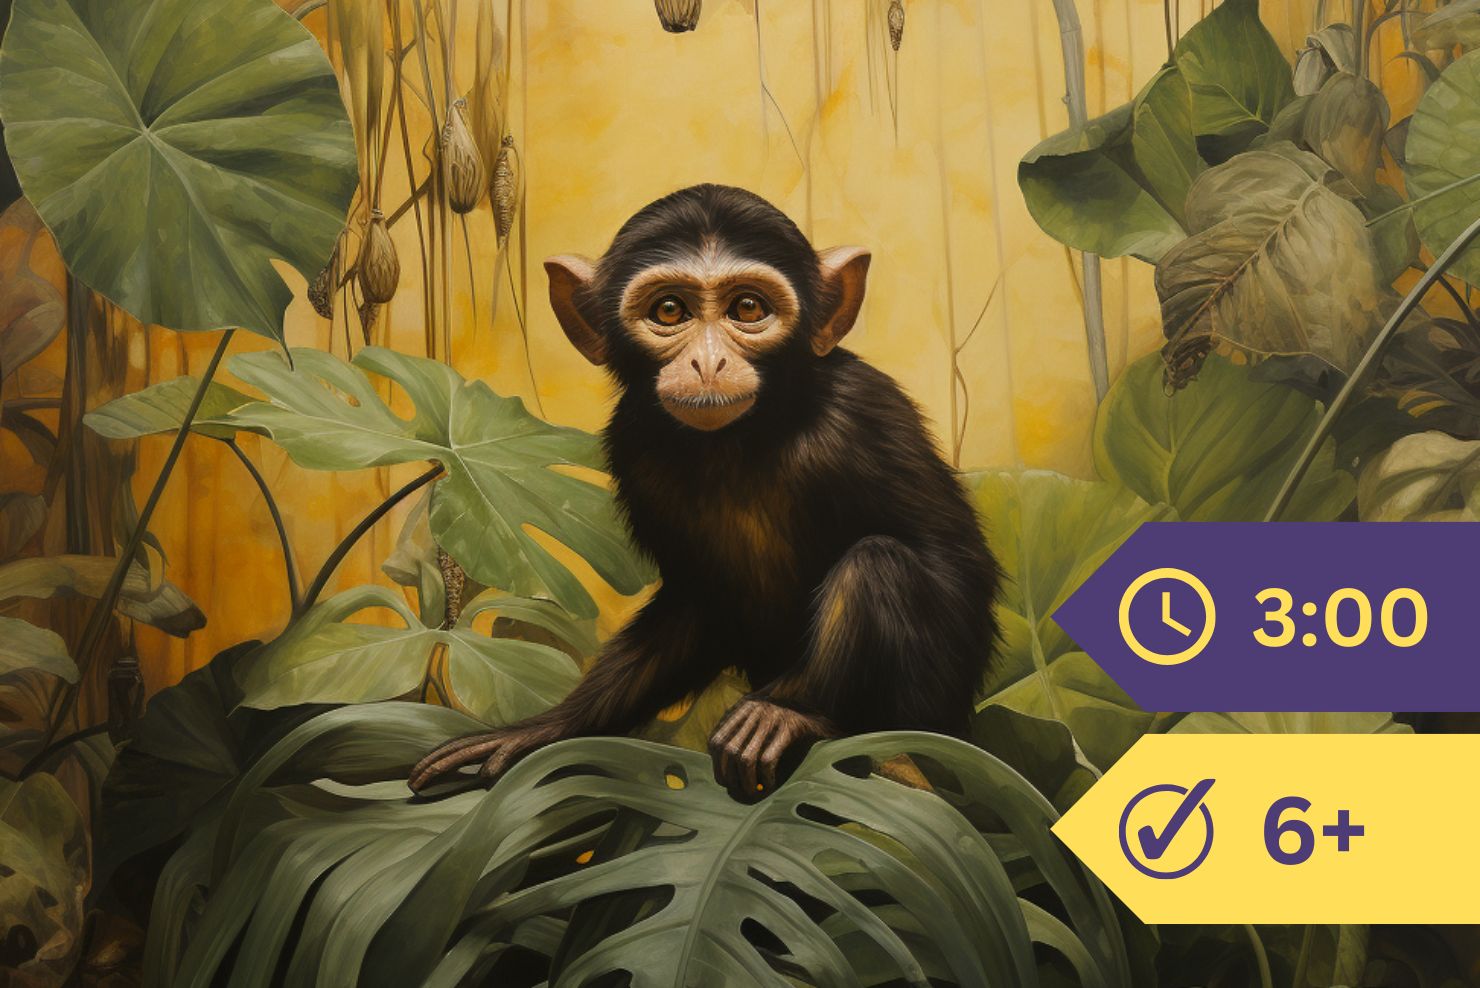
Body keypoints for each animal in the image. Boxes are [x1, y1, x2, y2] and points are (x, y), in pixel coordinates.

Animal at [409, 184, 1000, 802]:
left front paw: (787, 711)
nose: (708, 360)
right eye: (670, 311)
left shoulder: (866, 413)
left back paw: (801, 715)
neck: (742, 438)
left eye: (748, 308)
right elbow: (696, 601)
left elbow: (952, 562)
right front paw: (543, 728)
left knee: (880, 564)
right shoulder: (634, 448)